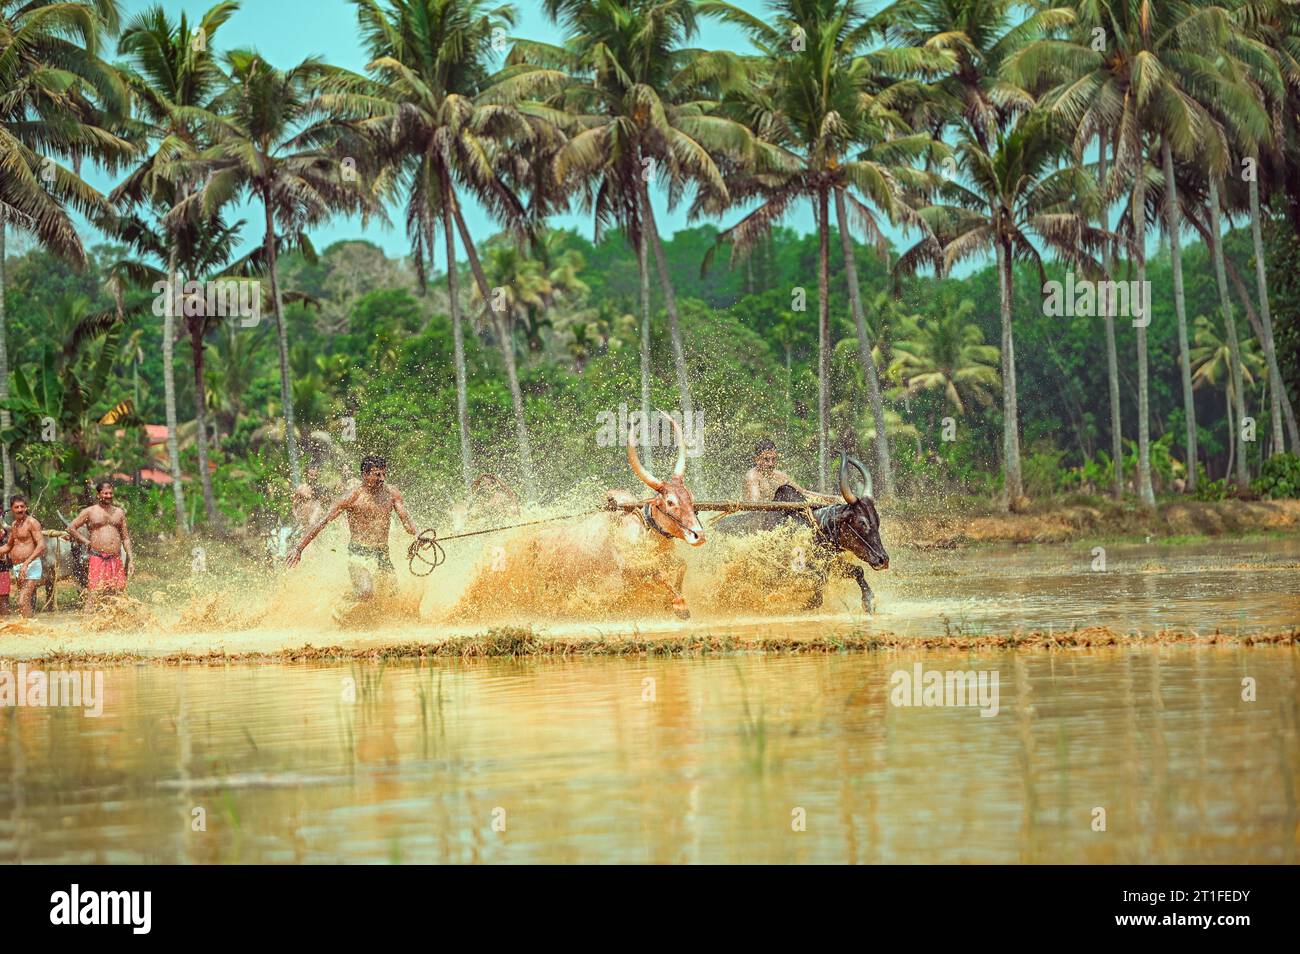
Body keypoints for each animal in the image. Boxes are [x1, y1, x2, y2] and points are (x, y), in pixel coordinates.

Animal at [770, 452, 889, 614]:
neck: (817, 529)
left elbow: (858, 571)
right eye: (861, 522)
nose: (883, 559)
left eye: (877, 520)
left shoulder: (831, 564)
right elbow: (819, 585)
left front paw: (868, 601)